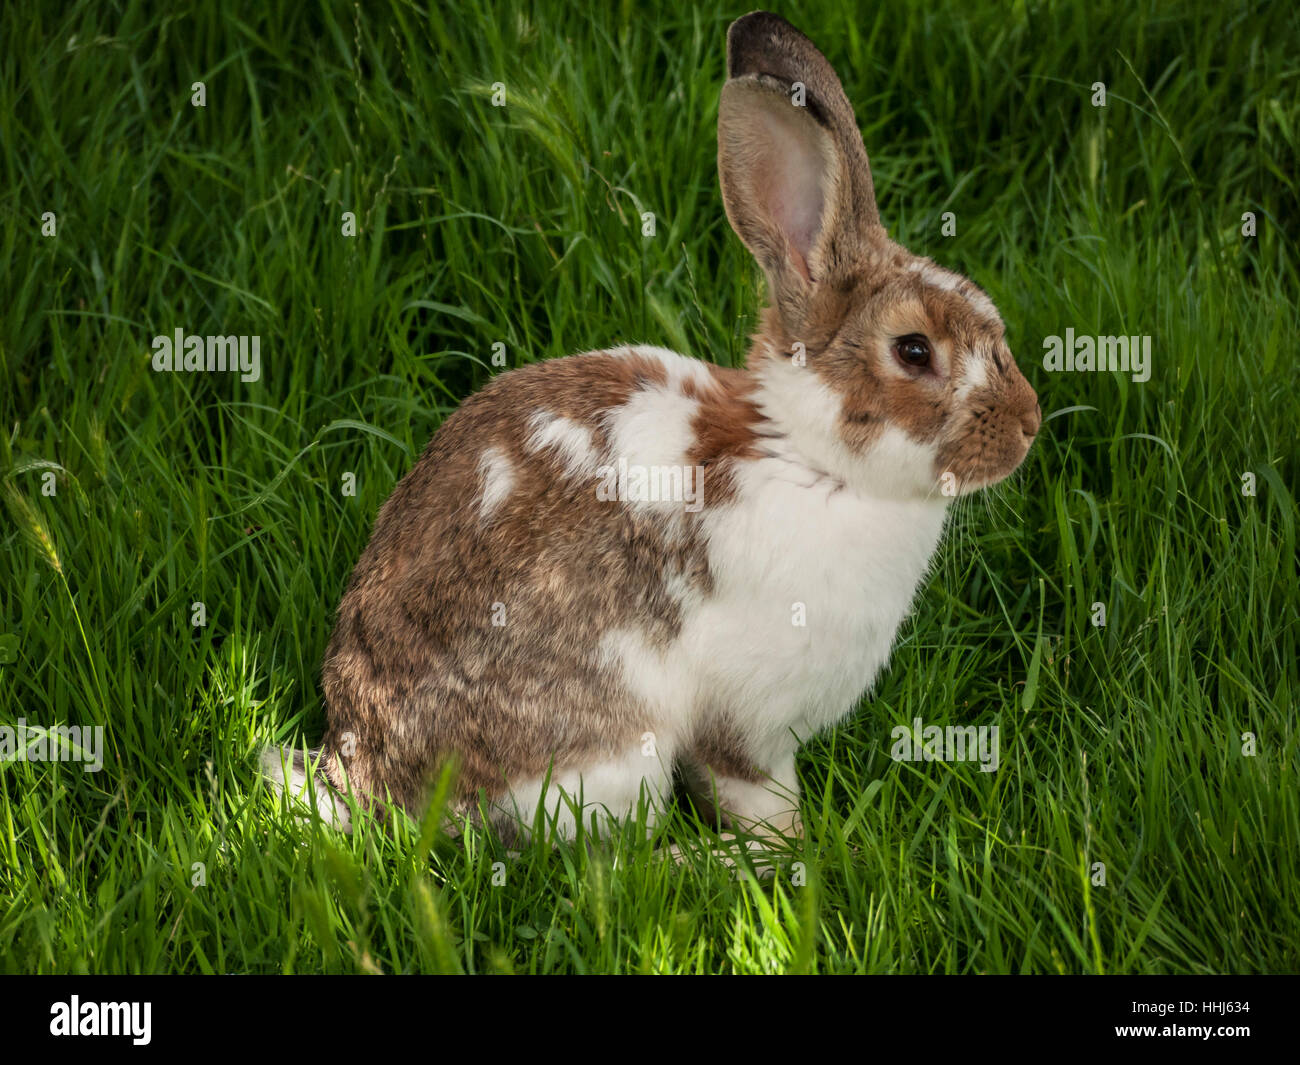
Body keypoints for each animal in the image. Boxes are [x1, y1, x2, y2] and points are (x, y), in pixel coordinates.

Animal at [261, 10, 1040, 846]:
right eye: (914, 351)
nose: (1028, 423)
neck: (809, 455)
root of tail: (371, 774)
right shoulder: (746, 720)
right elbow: (755, 790)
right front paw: (791, 849)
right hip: (610, 757)